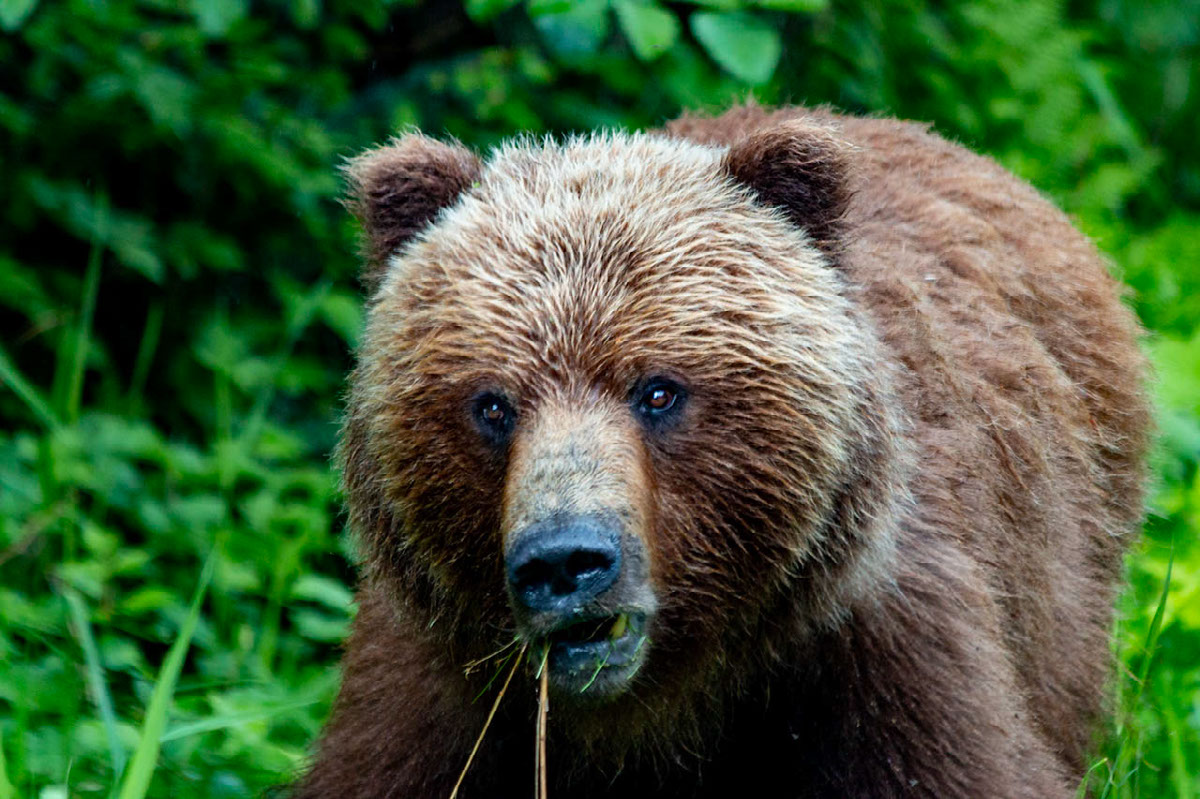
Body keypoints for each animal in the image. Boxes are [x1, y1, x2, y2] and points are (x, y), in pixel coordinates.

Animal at [292, 104, 1150, 798]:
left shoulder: (876, 656)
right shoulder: (438, 690)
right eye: (491, 404)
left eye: (659, 390)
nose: (566, 562)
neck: (659, 704)